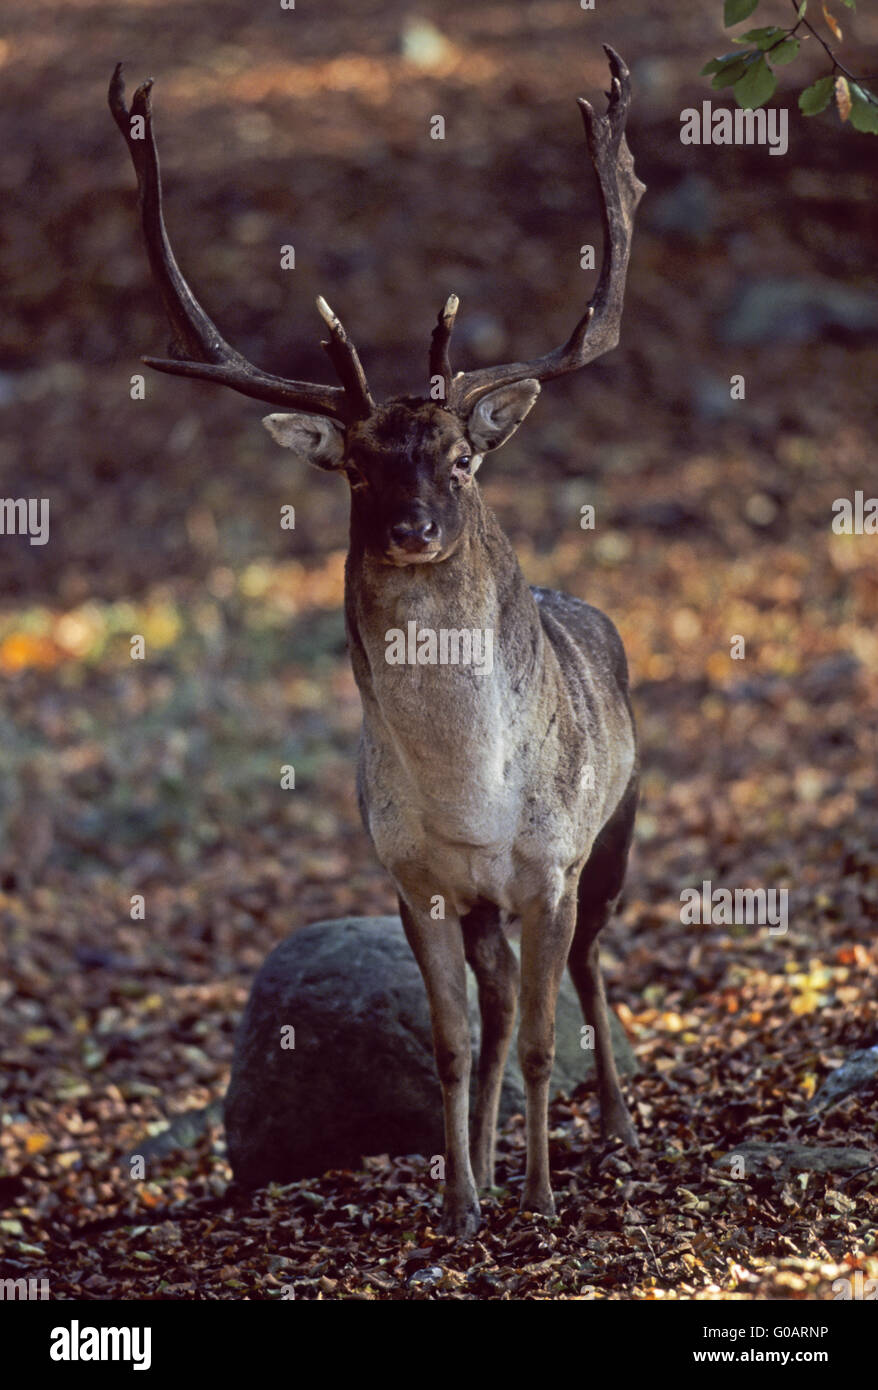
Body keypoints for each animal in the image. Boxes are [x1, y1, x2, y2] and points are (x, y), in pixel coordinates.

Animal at [109, 46, 645, 1238]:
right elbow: (451, 1042)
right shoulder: (412, 878)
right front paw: (459, 1201)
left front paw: (540, 1197)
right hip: (489, 903)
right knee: (494, 1011)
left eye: (460, 458)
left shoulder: (547, 863)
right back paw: (488, 1167)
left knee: (590, 972)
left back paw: (615, 1127)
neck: (471, 794)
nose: (412, 529)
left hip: (615, 834)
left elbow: (543, 1036)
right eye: (356, 466)